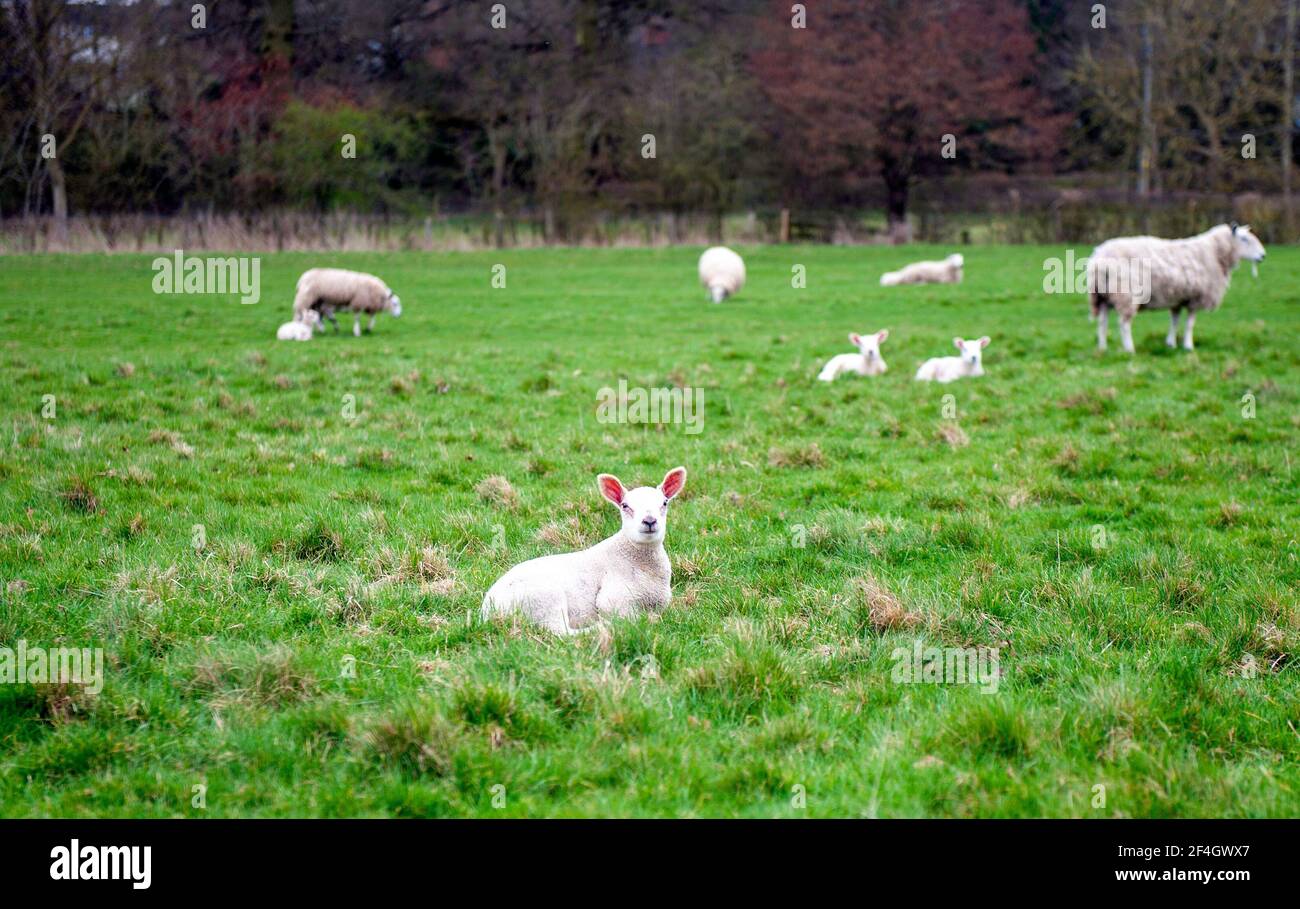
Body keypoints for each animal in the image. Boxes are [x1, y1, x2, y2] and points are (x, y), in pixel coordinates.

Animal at [482, 467, 687, 636]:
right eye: (625, 506)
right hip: (545, 599)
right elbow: (633, 618)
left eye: (665, 503)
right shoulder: (612, 600)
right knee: (561, 632)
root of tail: (487, 612)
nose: (650, 521)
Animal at [1088, 223, 1266, 353]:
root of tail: (1100, 259)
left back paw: (1102, 348)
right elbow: (1189, 324)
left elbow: (1175, 320)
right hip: (1126, 295)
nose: (1263, 256)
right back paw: (1129, 349)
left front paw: (1171, 344)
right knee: (1124, 323)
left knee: (1102, 322)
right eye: (1244, 239)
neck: (1215, 253)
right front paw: (1188, 346)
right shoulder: (1195, 298)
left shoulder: (1178, 298)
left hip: (1102, 296)